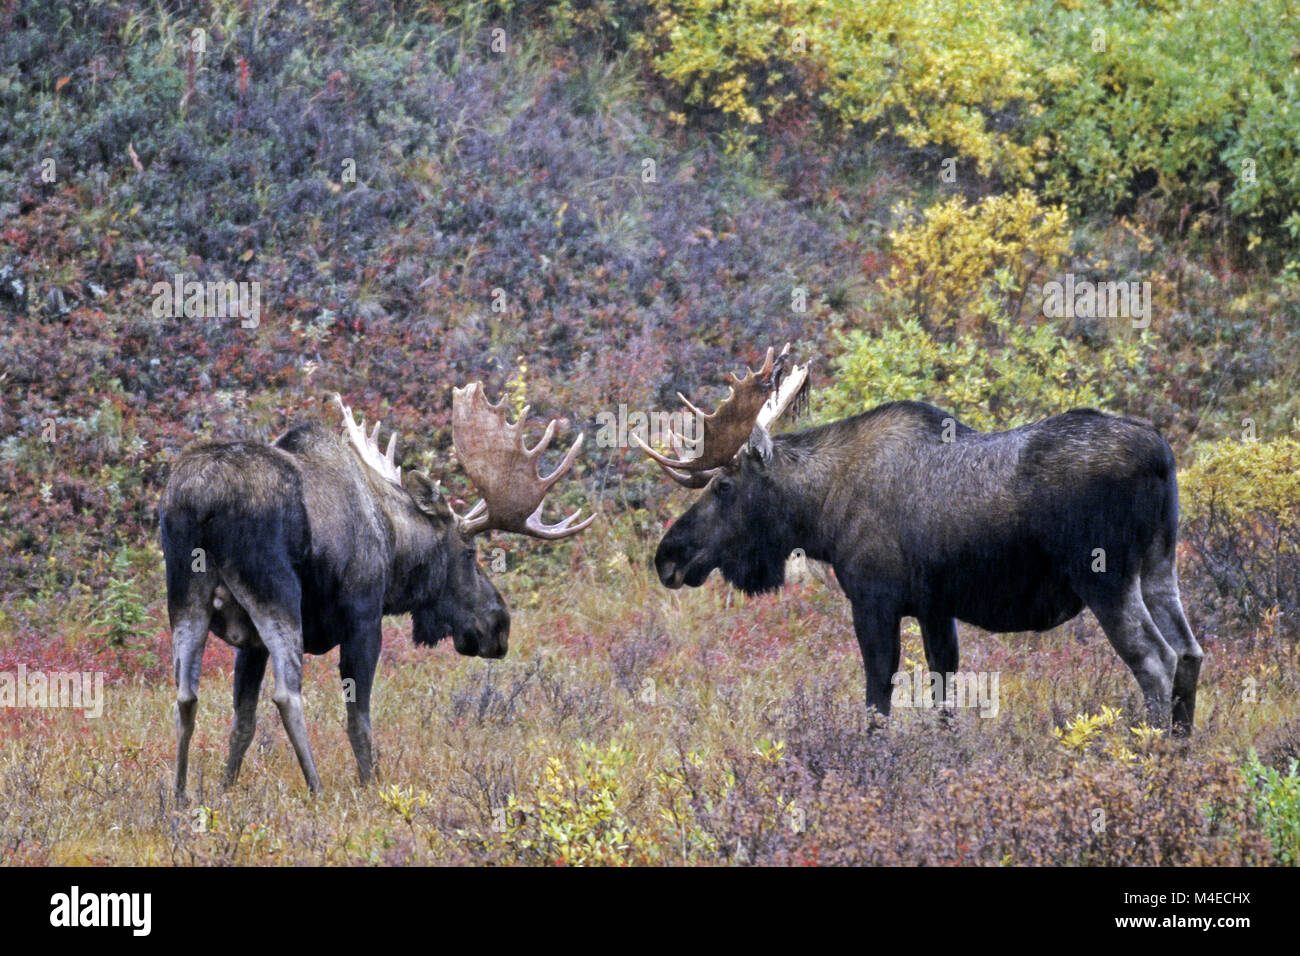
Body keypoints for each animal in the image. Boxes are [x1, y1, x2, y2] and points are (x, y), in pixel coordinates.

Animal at [159, 385, 593, 798]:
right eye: (469, 553)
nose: (499, 625)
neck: (395, 542)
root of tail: (205, 501)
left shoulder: (250, 644)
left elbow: (243, 722)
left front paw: (225, 787)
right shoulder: (364, 617)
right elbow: (359, 721)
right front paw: (371, 785)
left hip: (184, 595)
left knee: (185, 696)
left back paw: (179, 795)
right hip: (276, 593)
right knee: (287, 694)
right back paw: (316, 788)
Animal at [637, 345, 1202, 734]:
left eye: (724, 486)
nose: (668, 557)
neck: (821, 515)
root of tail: (1161, 454)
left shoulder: (874, 600)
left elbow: (877, 701)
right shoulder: (935, 609)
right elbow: (944, 698)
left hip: (1104, 577)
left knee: (1156, 661)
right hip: (1160, 566)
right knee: (1190, 653)